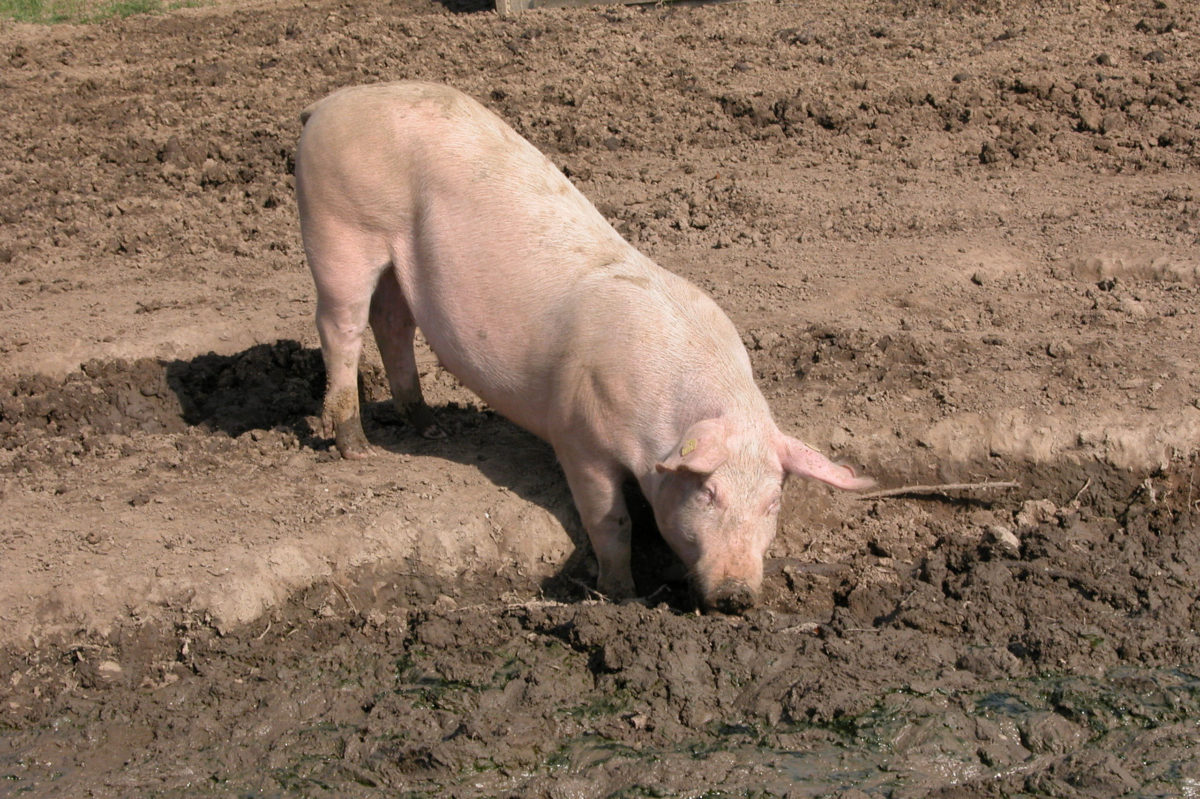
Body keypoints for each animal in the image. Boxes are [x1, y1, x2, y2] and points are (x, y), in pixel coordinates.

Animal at [295, 82, 873, 613]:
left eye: (773, 502)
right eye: (709, 492)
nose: (736, 596)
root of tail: (329, 103)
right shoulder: (577, 435)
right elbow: (611, 519)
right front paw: (620, 595)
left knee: (393, 323)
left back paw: (431, 427)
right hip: (339, 227)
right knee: (341, 326)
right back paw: (356, 446)